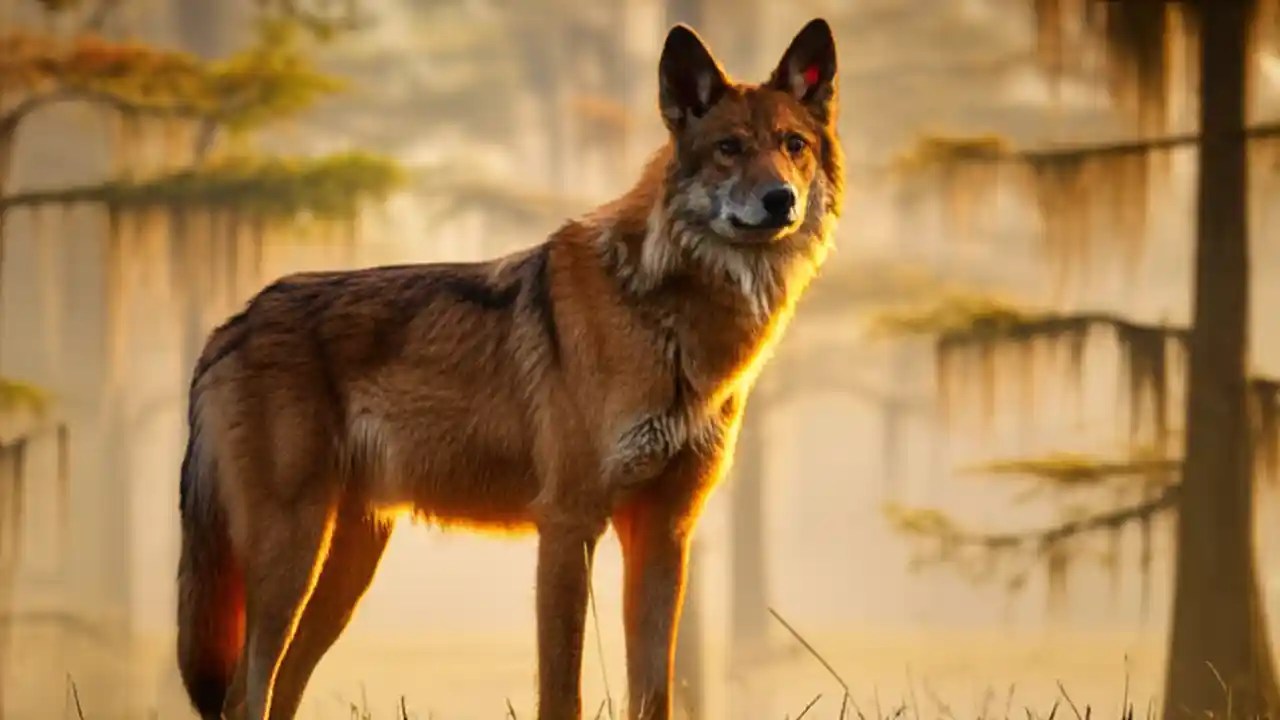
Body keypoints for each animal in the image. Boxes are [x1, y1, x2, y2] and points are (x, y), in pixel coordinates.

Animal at [176, 17, 842, 720]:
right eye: (729, 149)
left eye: (793, 145)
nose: (780, 199)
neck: (670, 321)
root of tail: (229, 326)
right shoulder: (567, 524)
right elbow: (562, 689)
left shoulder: (664, 531)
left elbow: (654, 691)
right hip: (291, 558)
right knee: (244, 696)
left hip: (344, 570)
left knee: (280, 691)